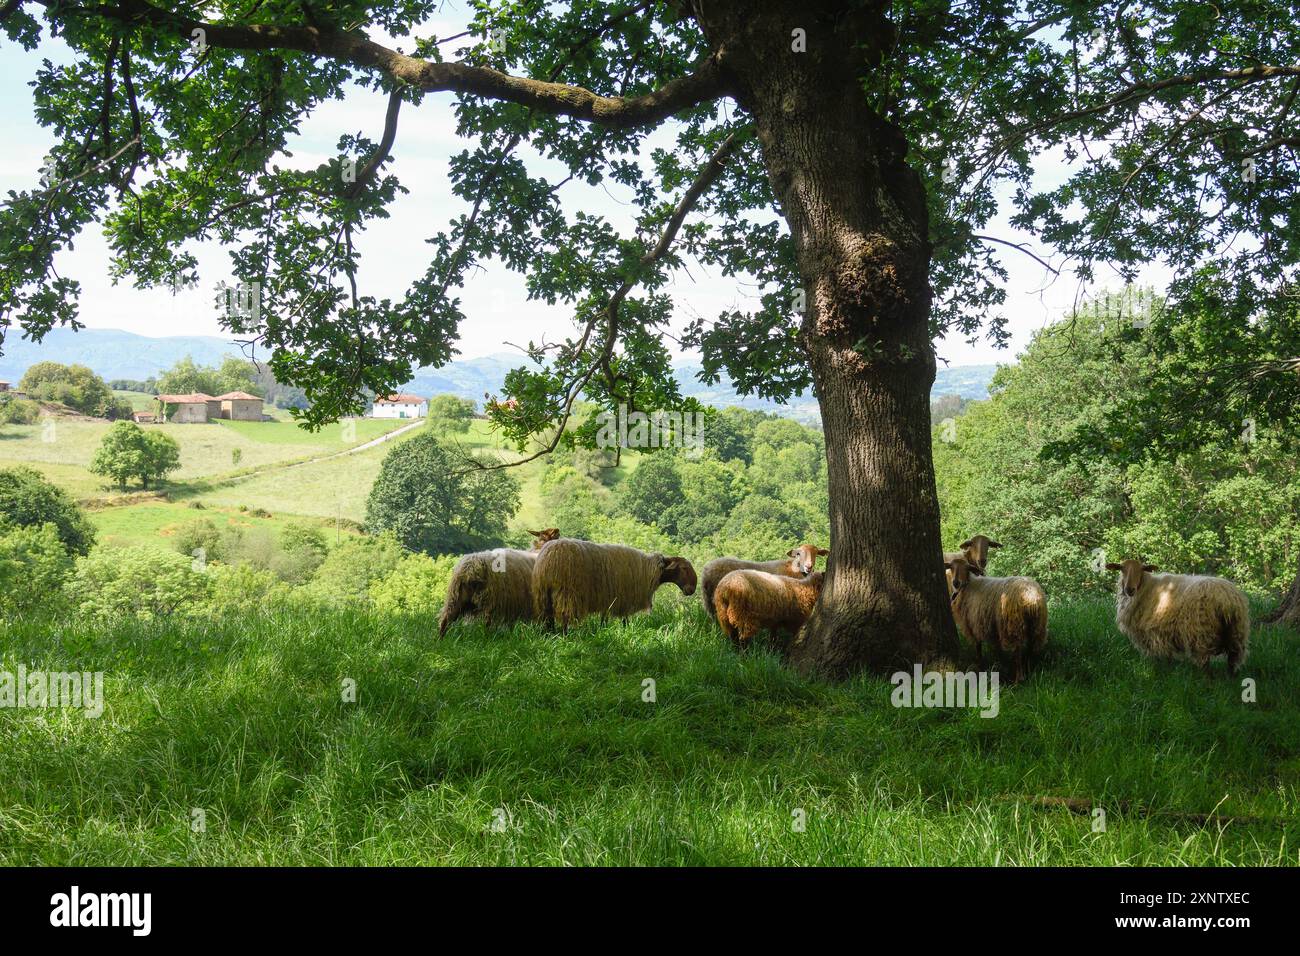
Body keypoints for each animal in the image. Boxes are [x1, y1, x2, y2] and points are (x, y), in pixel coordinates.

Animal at [532, 539, 697, 629]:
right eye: (684, 568)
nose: (692, 589)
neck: (649, 569)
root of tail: (549, 557)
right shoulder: (623, 598)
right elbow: (624, 620)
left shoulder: (609, 598)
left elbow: (604, 619)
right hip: (567, 592)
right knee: (565, 615)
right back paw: (565, 637)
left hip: (544, 593)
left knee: (548, 617)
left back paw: (552, 635)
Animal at [1105, 558, 1249, 675]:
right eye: (1122, 569)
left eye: (1141, 569)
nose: (1129, 589)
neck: (1146, 588)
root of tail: (1226, 599)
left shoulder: (1155, 634)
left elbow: (1159, 659)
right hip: (1236, 635)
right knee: (1232, 661)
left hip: (1202, 634)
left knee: (1205, 665)